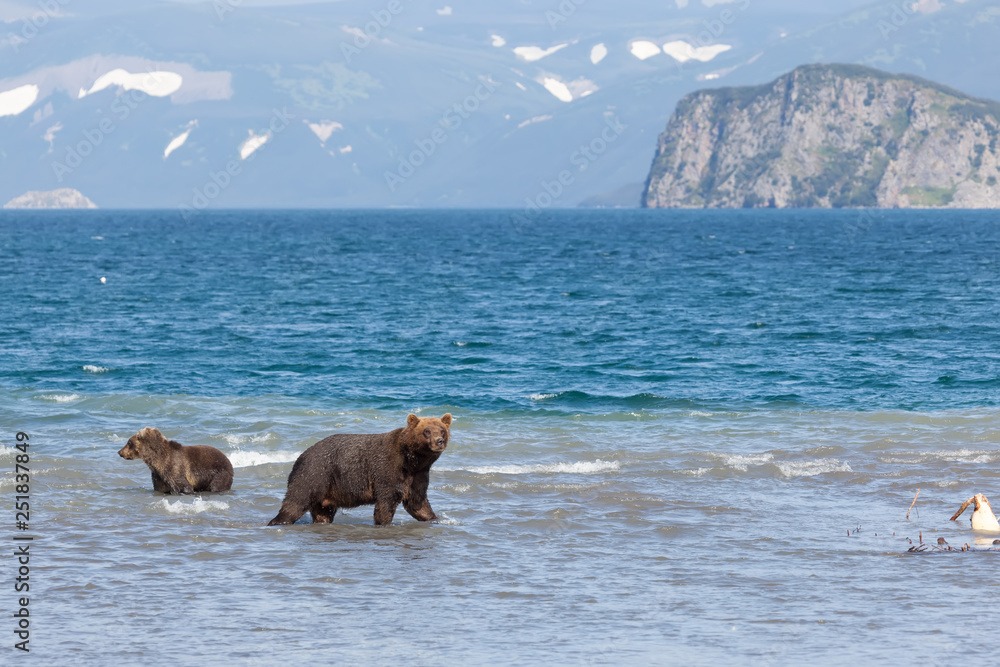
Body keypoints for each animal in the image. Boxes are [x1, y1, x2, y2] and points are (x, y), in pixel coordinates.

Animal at [267, 413, 452, 526]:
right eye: (427, 431)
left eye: (442, 430)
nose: (439, 441)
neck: (412, 460)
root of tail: (301, 455)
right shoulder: (388, 470)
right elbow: (386, 501)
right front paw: (383, 522)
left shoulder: (418, 476)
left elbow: (417, 503)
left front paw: (434, 518)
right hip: (314, 474)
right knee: (295, 502)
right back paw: (277, 521)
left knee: (323, 513)